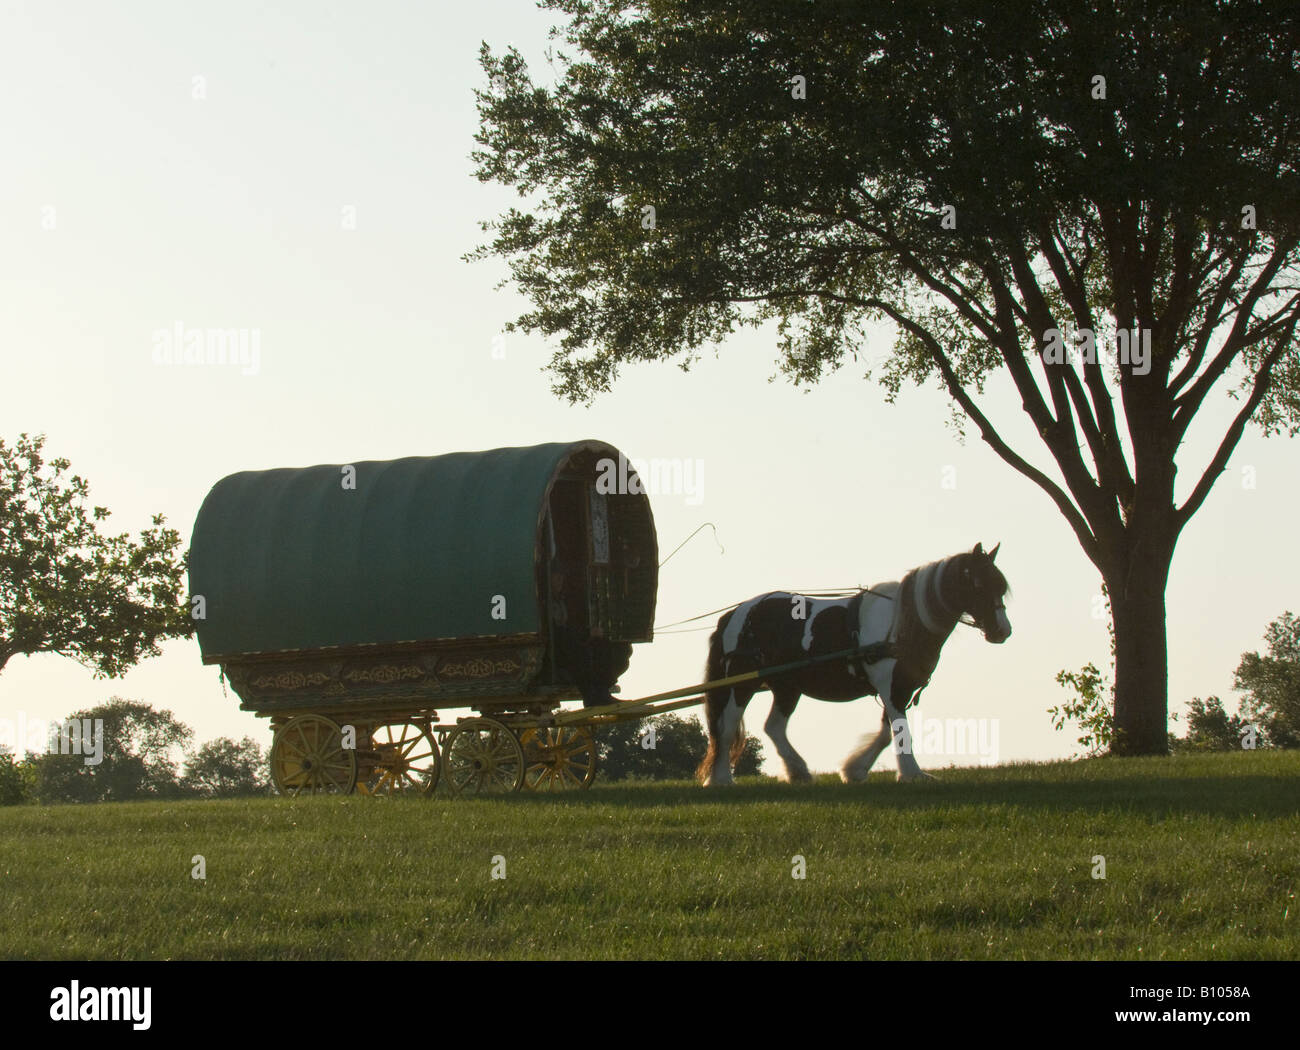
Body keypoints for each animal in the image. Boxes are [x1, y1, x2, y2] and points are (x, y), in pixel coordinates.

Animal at [696, 543, 1011, 786]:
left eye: (1001, 586)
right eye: (978, 584)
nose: (1002, 631)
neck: (903, 624)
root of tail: (736, 613)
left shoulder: (900, 688)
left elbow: (886, 732)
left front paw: (855, 770)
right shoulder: (892, 687)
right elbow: (899, 730)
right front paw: (912, 773)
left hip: (787, 686)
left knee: (773, 727)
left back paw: (798, 771)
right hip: (742, 682)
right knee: (727, 726)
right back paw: (722, 777)